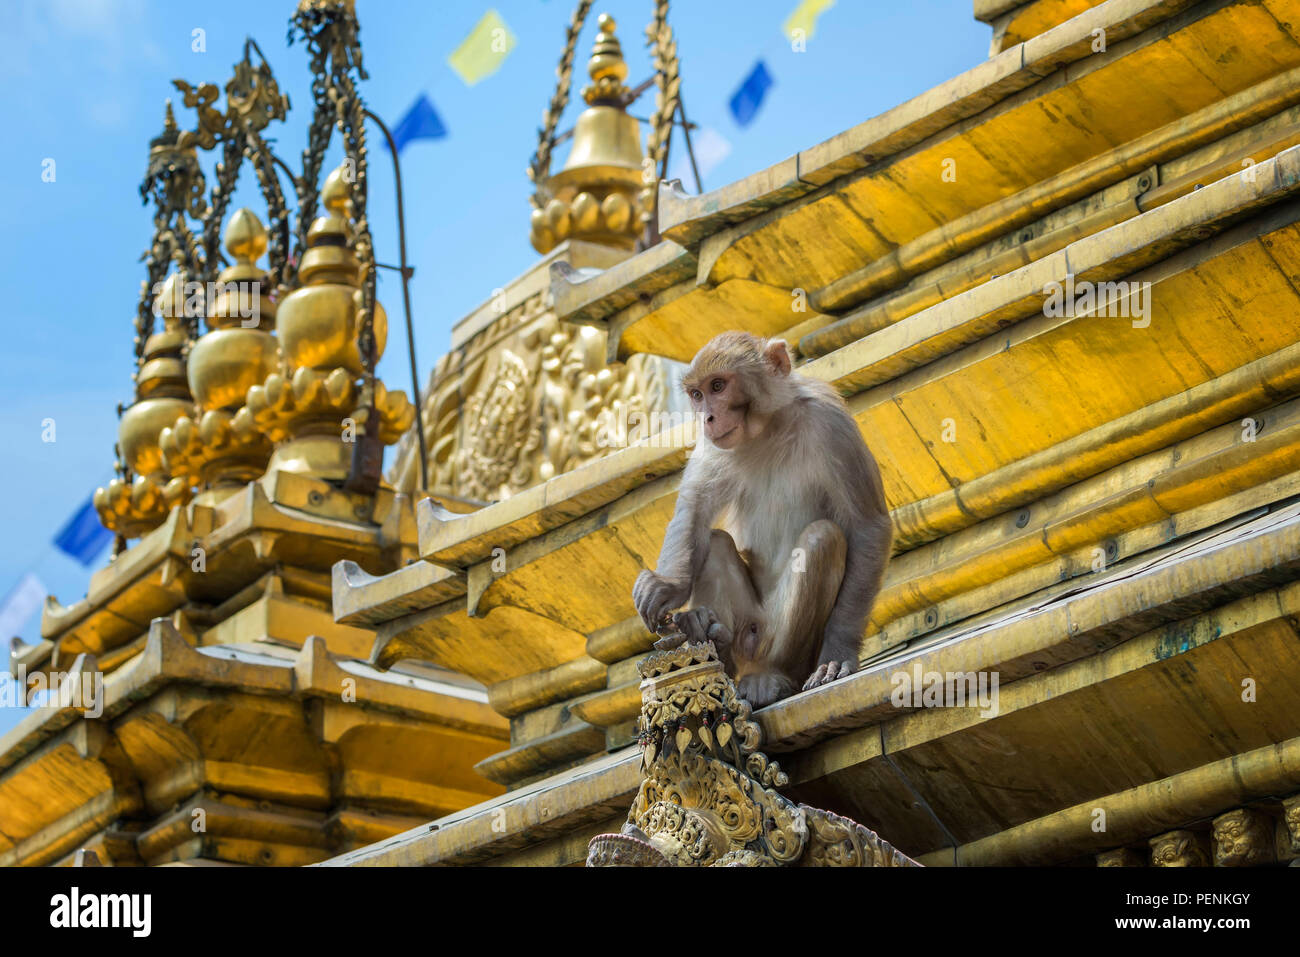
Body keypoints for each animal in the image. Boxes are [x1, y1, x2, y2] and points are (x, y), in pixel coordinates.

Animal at [632, 330, 892, 708]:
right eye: (697, 395)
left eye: (718, 386)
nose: (707, 418)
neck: (769, 427)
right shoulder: (712, 444)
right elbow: (694, 509)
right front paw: (667, 586)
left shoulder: (831, 423)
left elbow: (867, 526)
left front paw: (838, 652)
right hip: (747, 627)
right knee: (714, 542)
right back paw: (714, 640)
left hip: (780, 637)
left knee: (822, 538)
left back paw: (772, 677)